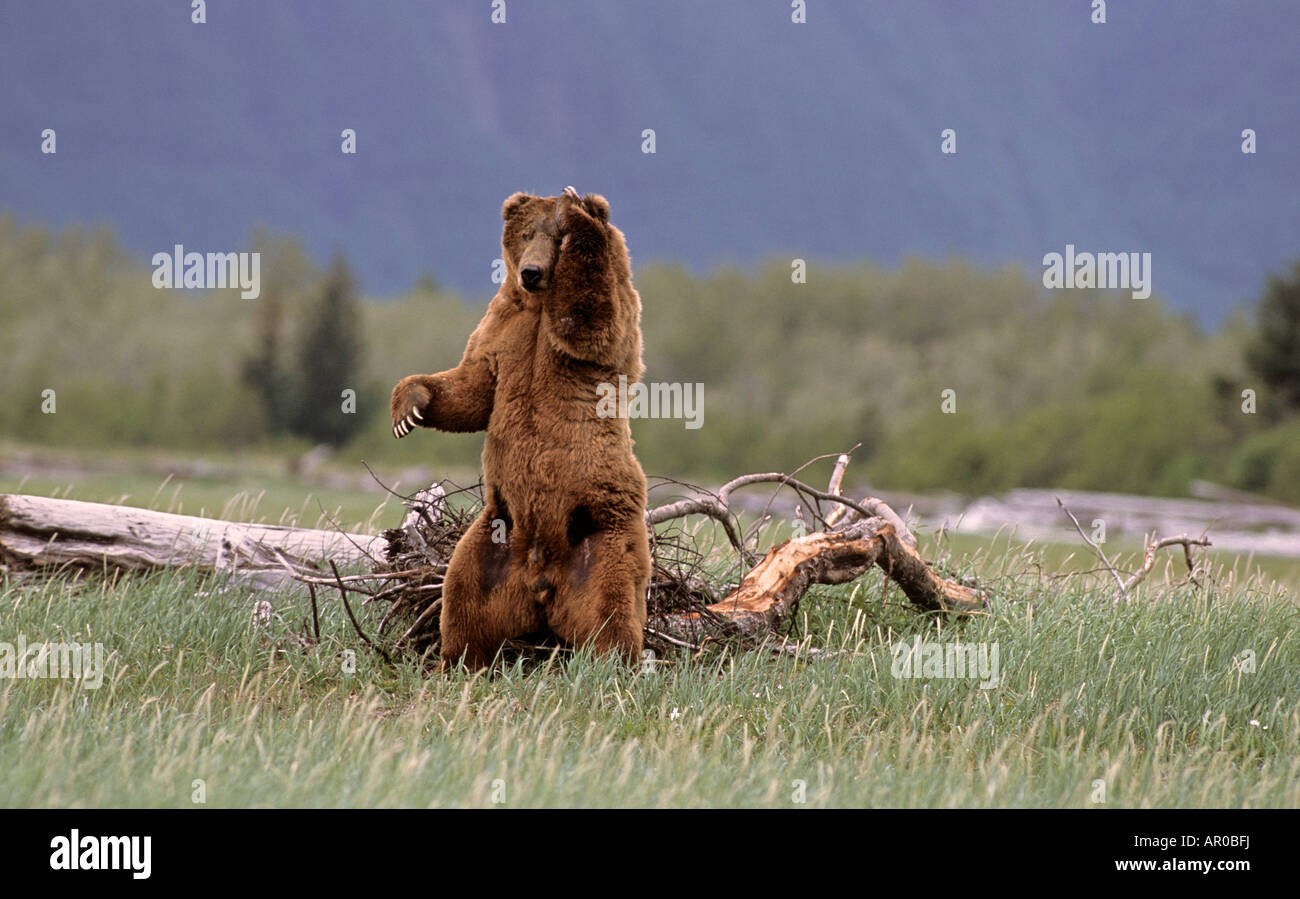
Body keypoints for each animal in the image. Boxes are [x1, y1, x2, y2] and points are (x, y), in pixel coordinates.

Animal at [390, 187, 650, 669]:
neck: (537, 302)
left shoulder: (612, 312)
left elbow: (593, 319)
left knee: (612, 609)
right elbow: (473, 388)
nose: (530, 271)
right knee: (463, 598)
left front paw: (578, 208)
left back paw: (615, 664)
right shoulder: (501, 327)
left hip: (602, 533)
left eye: (557, 237)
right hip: (493, 540)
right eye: (528, 232)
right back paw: (457, 660)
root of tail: (542, 585)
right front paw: (409, 409)